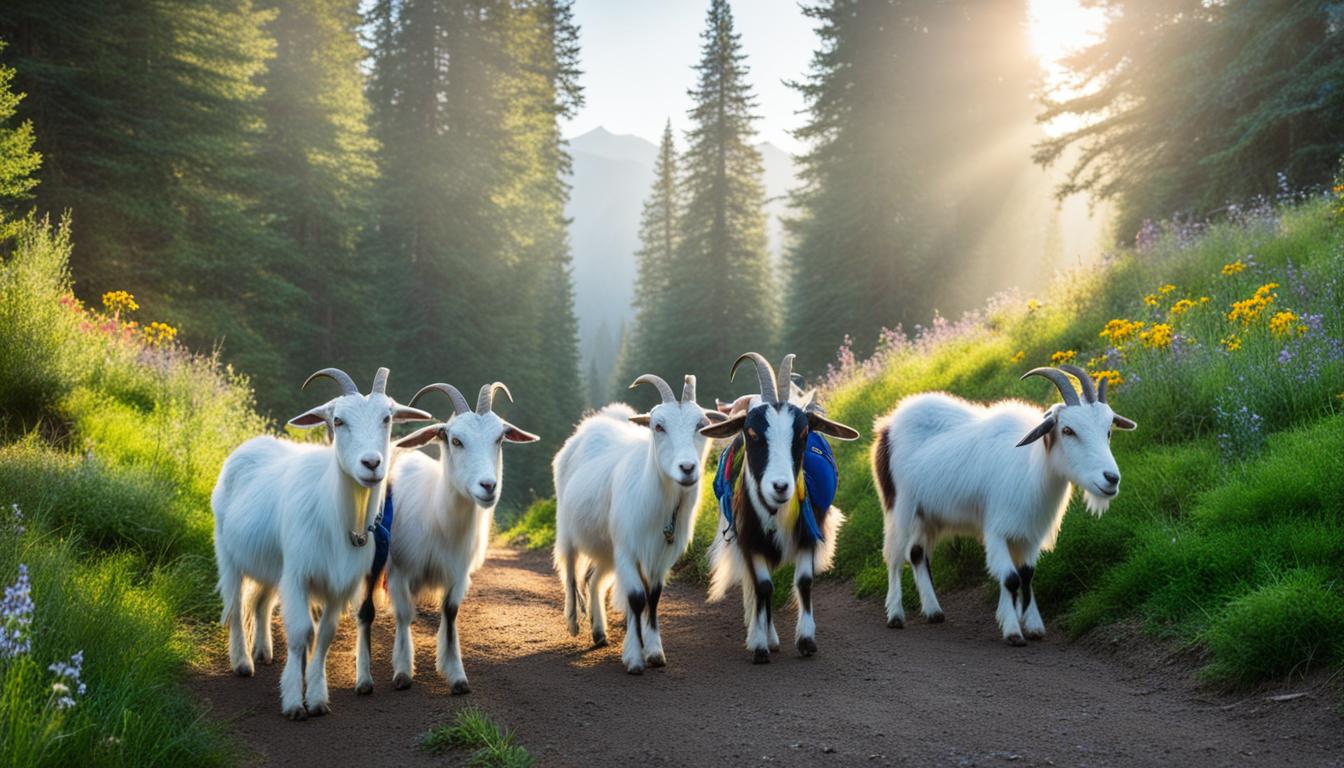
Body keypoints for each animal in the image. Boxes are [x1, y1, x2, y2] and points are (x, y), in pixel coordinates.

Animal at [211, 367, 431, 719]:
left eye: (387, 418)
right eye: (338, 420)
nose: (372, 463)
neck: (337, 517)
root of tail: (252, 444)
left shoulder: (339, 585)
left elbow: (324, 635)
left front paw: (315, 697)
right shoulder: (297, 575)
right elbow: (302, 633)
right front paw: (293, 701)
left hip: (272, 563)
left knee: (260, 602)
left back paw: (262, 651)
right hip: (227, 553)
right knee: (234, 602)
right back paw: (243, 662)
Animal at [353, 382, 538, 695]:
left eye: (500, 438)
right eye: (456, 440)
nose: (488, 486)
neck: (437, 516)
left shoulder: (457, 572)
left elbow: (450, 613)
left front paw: (456, 674)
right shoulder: (400, 569)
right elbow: (404, 615)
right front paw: (403, 671)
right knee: (366, 611)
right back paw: (364, 678)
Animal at [552, 374, 724, 674]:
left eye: (702, 426)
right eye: (658, 426)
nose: (687, 468)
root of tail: (592, 424)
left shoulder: (660, 554)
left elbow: (652, 596)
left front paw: (654, 650)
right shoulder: (627, 549)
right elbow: (635, 597)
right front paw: (634, 657)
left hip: (607, 548)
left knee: (595, 580)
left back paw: (599, 632)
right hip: (568, 528)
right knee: (571, 570)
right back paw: (574, 622)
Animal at [699, 353, 860, 663]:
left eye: (804, 432)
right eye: (751, 432)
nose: (780, 486)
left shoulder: (809, 533)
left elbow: (805, 581)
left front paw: (807, 639)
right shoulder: (749, 542)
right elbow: (762, 587)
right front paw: (760, 644)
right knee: (758, 588)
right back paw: (767, 636)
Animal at [871, 364, 1137, 644]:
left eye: (1108, 430)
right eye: (1068, 430)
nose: (1111, 479)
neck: (1029, 467)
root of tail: (888, 425)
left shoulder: (1029, 533)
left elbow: (1027, 574)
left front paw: (1032, 625)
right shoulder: (996, 531)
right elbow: (1010, 578)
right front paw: (1012, 630)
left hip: (928, 514)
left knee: (917, 553)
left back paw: (933, 611)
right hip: (900, 507)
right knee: (895, 555)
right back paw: (896, 614)